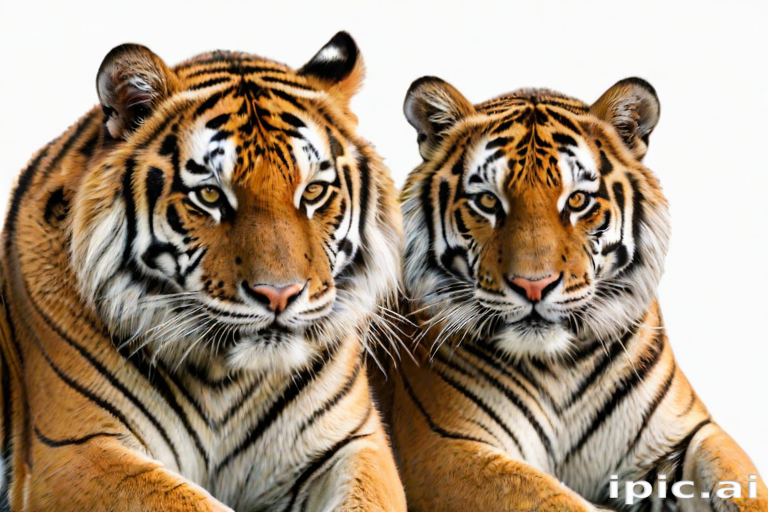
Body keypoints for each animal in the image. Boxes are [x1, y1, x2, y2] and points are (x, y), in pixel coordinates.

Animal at [0, 32, 407, 511]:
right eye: (210, 195)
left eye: (313, 192)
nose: (280, 295)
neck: (225, 381)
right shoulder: (77, 447)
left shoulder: (353, 443)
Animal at [386, 76, 768, 511]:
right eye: (486, 201)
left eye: (578, 200)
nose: (533, 285)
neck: (560, 367)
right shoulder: (446, 448)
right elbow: (556, 500)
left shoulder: (687, 435)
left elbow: (738, 479)